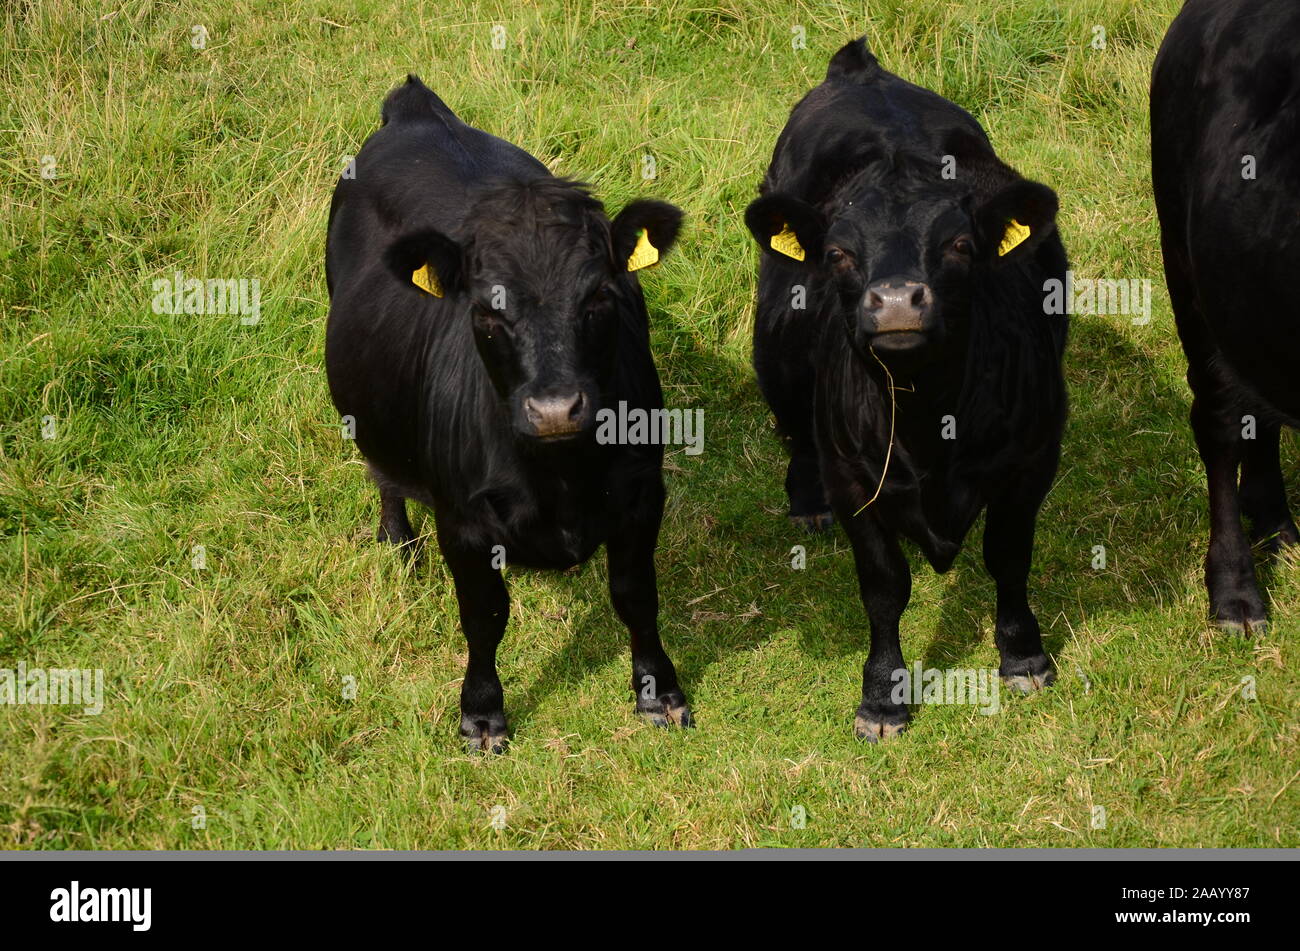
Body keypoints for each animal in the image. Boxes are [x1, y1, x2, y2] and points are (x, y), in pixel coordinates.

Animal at [325, 76, 689, 752]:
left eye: (599, 295)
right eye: (486, 310)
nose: (554, 408)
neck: (559, 475)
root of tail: (418, 110)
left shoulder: (641, 493)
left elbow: (636, 594)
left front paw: (659, 692)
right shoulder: (463, 520)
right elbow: (485, 615)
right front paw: (482, 714)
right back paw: (396, 540)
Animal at [745, 38, 1069, 740]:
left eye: (960, 245)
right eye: (838, 253)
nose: (896, 301)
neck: (928, 423)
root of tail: (861, 71)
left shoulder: (1031, 461)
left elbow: (1009, 556)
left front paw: (1023, 656)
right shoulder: (854, 480)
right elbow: (885, 586)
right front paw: (883, 697)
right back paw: (804, 500)